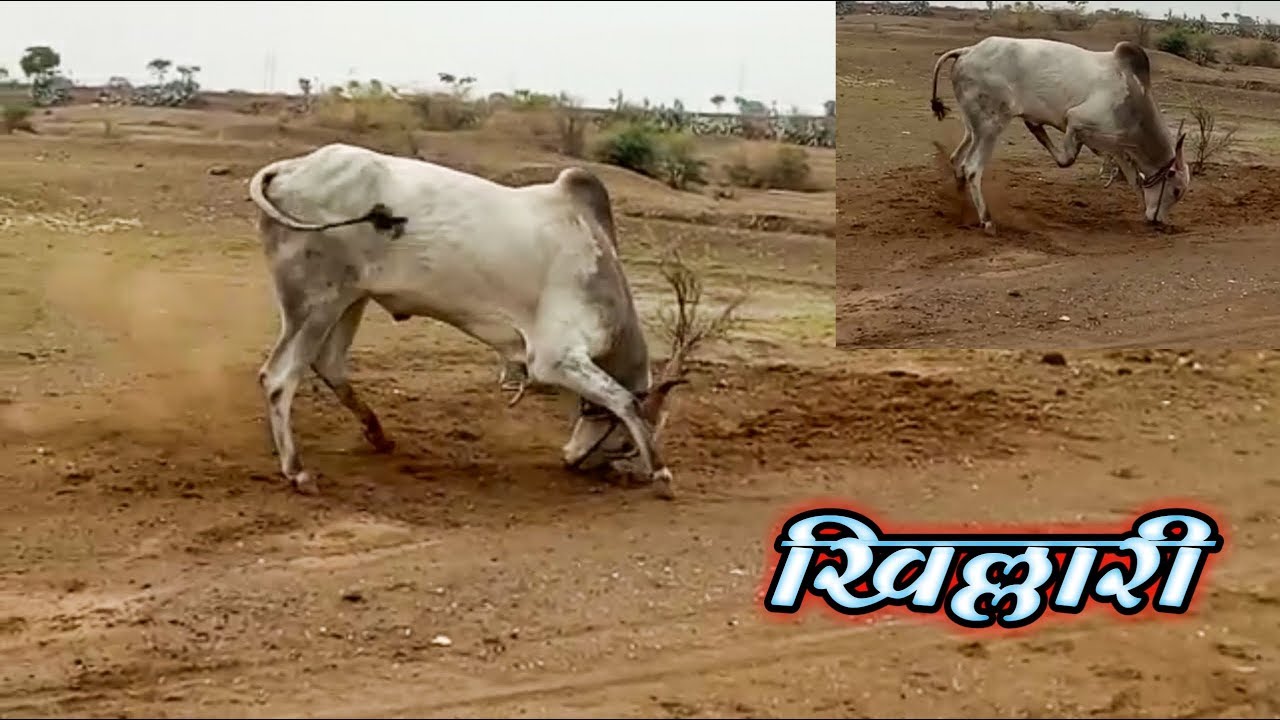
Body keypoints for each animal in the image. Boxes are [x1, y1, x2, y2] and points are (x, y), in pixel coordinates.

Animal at [246, 143, 687, 499]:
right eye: (626, 445)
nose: (574, 459)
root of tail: (288, 169)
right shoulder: (555, 358)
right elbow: (624, 400)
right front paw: (661, 474)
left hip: (349, 298)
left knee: (330, 364)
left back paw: (379, 436)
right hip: (316, 302)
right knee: (279, 377)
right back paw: (297, 472)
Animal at [928, 36, 1190, 231]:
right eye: (1176, 191)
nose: (1159, 221)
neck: (1134, 100)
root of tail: (967, 51)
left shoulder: (1115, 147)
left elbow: (1134, 180)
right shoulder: (1077, 121)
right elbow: (1067, 159)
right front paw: (1036, 127)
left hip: (974, 127)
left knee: (957, 160)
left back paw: (962, 204)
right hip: (992, 124)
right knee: (971, 168)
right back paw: (986, 220)